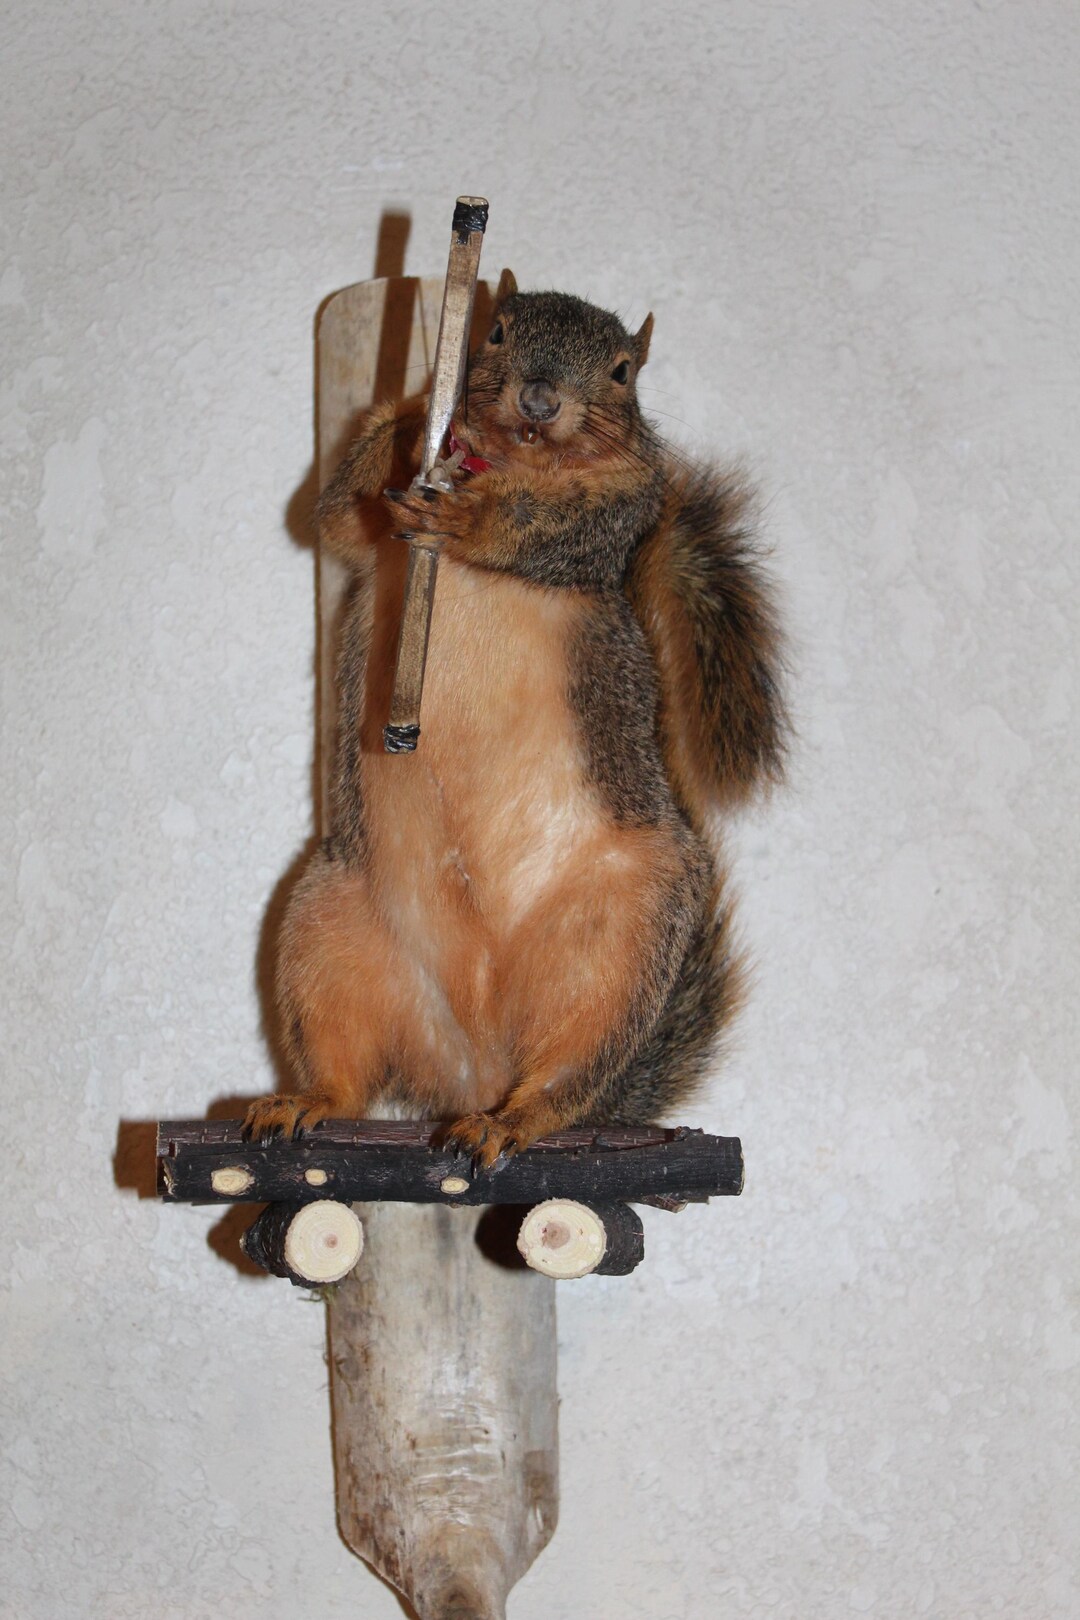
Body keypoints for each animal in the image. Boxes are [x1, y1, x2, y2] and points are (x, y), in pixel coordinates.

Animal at [242, 270, 787, 1168]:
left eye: (623, 371)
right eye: (494, 332)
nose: (539, 398)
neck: (517, 459)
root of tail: (476, 1062)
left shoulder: (618, 514)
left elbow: (552, 527)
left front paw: (475, 518)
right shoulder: (364, 530)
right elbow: (338, 516)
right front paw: (414, 436)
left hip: (620, 943)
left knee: (568, 1072)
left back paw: (513, 1120)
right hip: (329, 932)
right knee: (343, 1066)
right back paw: (307, 1103)